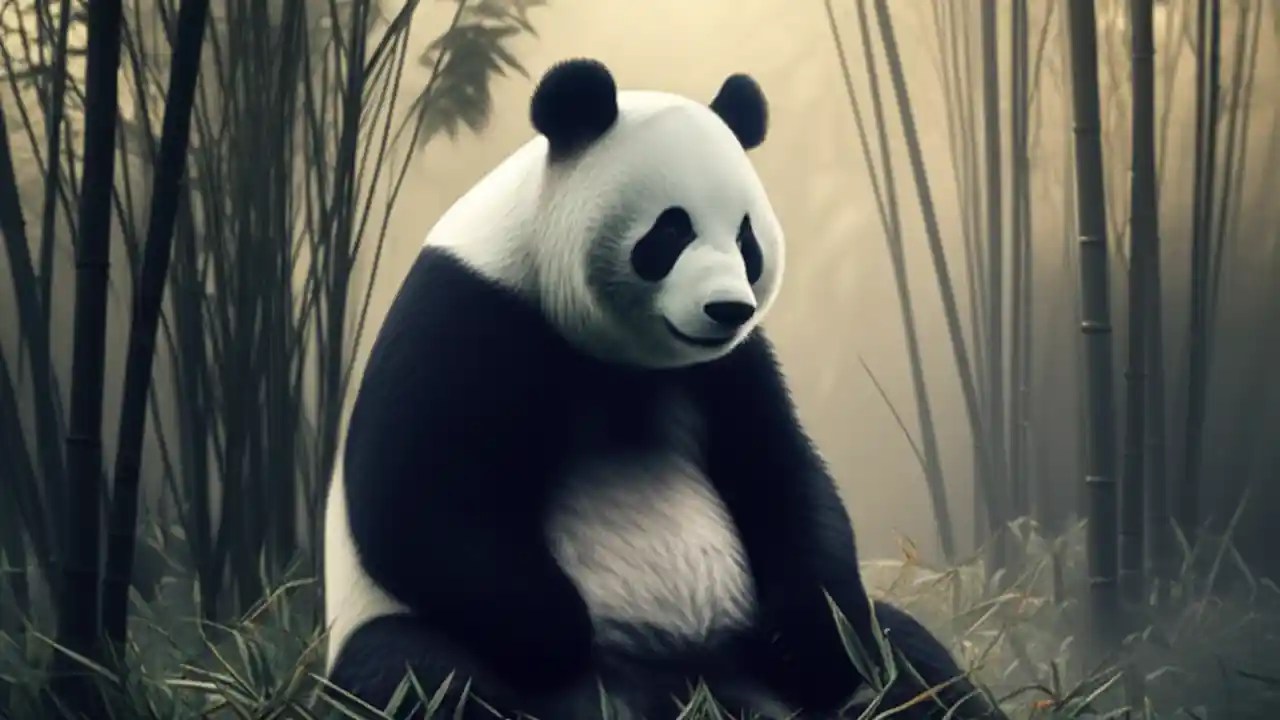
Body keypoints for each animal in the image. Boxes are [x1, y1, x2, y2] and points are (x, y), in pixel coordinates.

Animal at [322, 58, 1002, 720]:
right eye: (671, 233)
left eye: (747, 240)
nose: (727, 308)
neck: (620, 360)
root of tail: (693, 693)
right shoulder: (466, 310)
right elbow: (416, 495)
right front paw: (558, 630)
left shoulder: (729, 367)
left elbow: (782, 474)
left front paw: (810, 643)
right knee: (413, 671)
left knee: (908, 658)